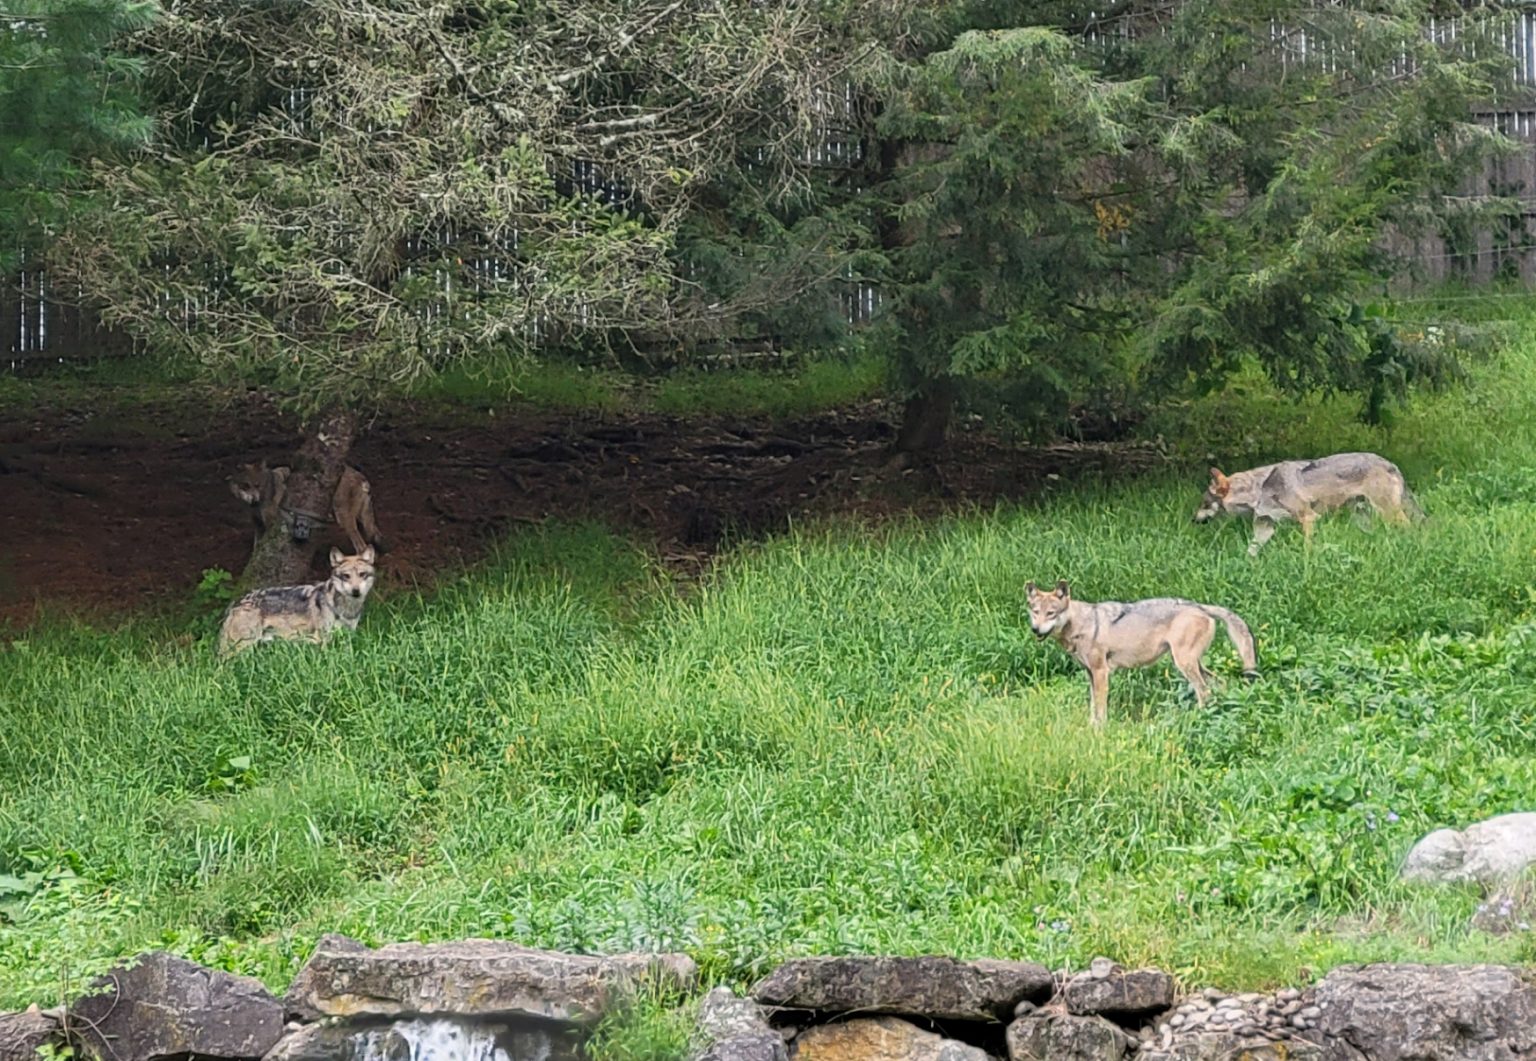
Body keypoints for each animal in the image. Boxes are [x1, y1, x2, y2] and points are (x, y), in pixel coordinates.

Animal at [217, 547, 377, 657]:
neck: (346, 608)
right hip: (242, 647)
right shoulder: (323, 641)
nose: (356, 591)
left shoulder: (346, 638)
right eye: (346, 576)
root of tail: (235, 603)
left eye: (362, 574)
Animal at [227, 459, 384, 555]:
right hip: (362, 520)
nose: (254, 500)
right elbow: (255, 551)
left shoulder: (270, 525)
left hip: (344, 521)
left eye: (257, 485)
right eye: (245, 486)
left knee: (361, 547)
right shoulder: (258, 526)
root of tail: (360, 476)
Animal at [1026, 580, 1259, 726]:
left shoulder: (1101, 672)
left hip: (1184, 664)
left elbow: (1100, 706)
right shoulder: (1090, 674)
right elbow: (1093, 705)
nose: (1035, 629)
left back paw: (1198, 718)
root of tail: (1200, 606)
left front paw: (1099, 729)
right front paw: (1090, 726)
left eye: (1051, 613)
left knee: (1204, 691)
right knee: (1219, 683)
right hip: (1192, 663)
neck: (1083, 624)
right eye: (1035, 612)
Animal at [1193, 452, 1423, 556]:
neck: (1258, 490)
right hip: (1363, 517)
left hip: (1388, 512)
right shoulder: (1265, 526)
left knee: (1410, 528)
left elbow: (1307, 547)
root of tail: (1389, 462)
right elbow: (1251, 550)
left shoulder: (1308, 518)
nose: (1192, 520)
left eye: (1203, 504)